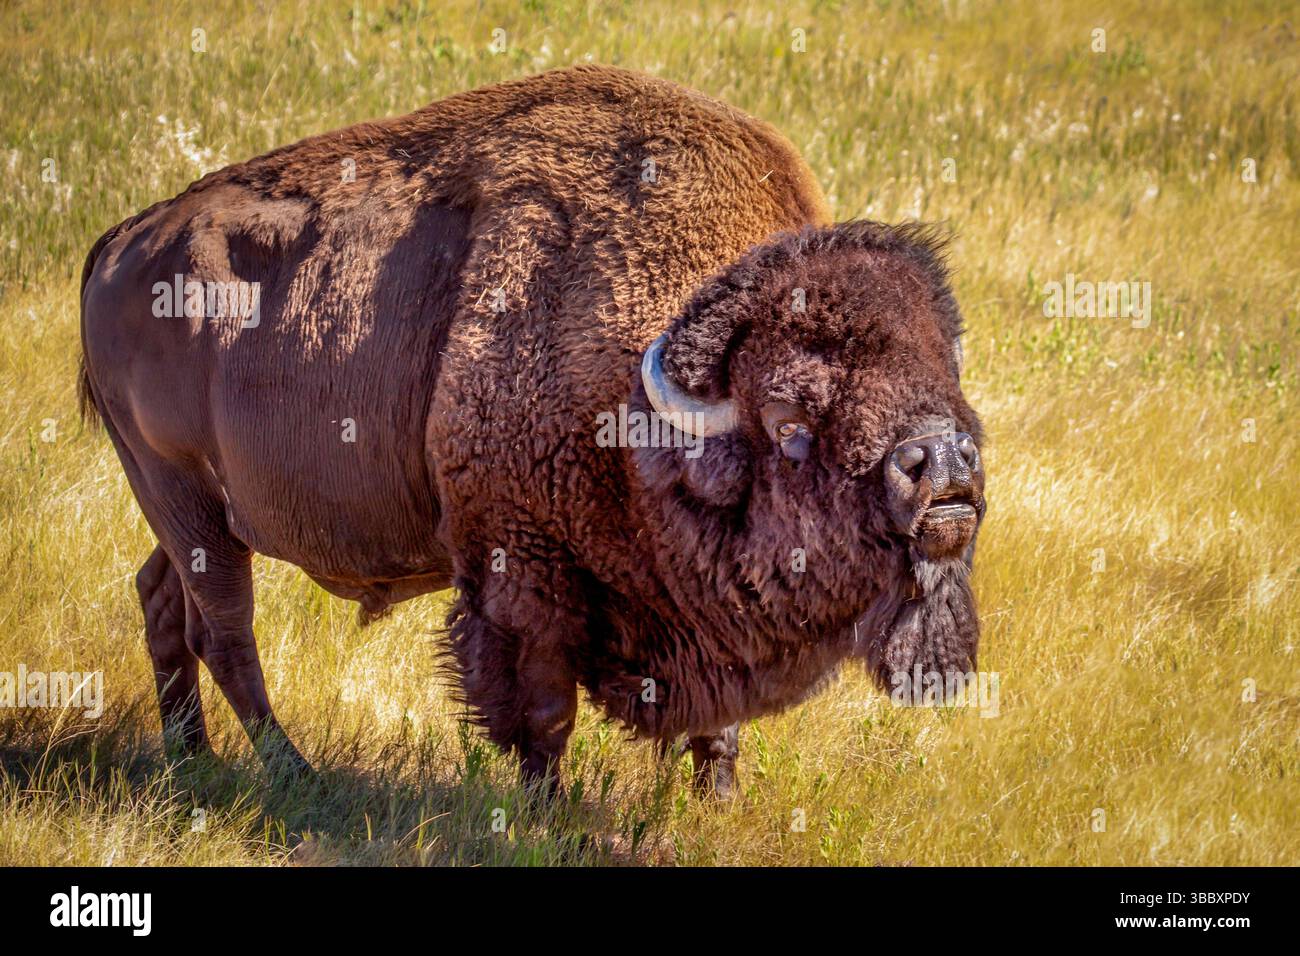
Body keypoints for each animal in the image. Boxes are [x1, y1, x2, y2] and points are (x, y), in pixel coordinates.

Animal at [79, 65, 985, 797]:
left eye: (944, 377)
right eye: (791, 420)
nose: (942, 463)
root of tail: (118, 242)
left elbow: (716, 724)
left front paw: (716, 801)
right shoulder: (523, 575)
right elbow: (543, 714)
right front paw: (546, 812)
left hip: (187, 514)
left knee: (163, 601)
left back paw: (192, 756)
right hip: (185, 498)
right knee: (226, 630)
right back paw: (290, 772)